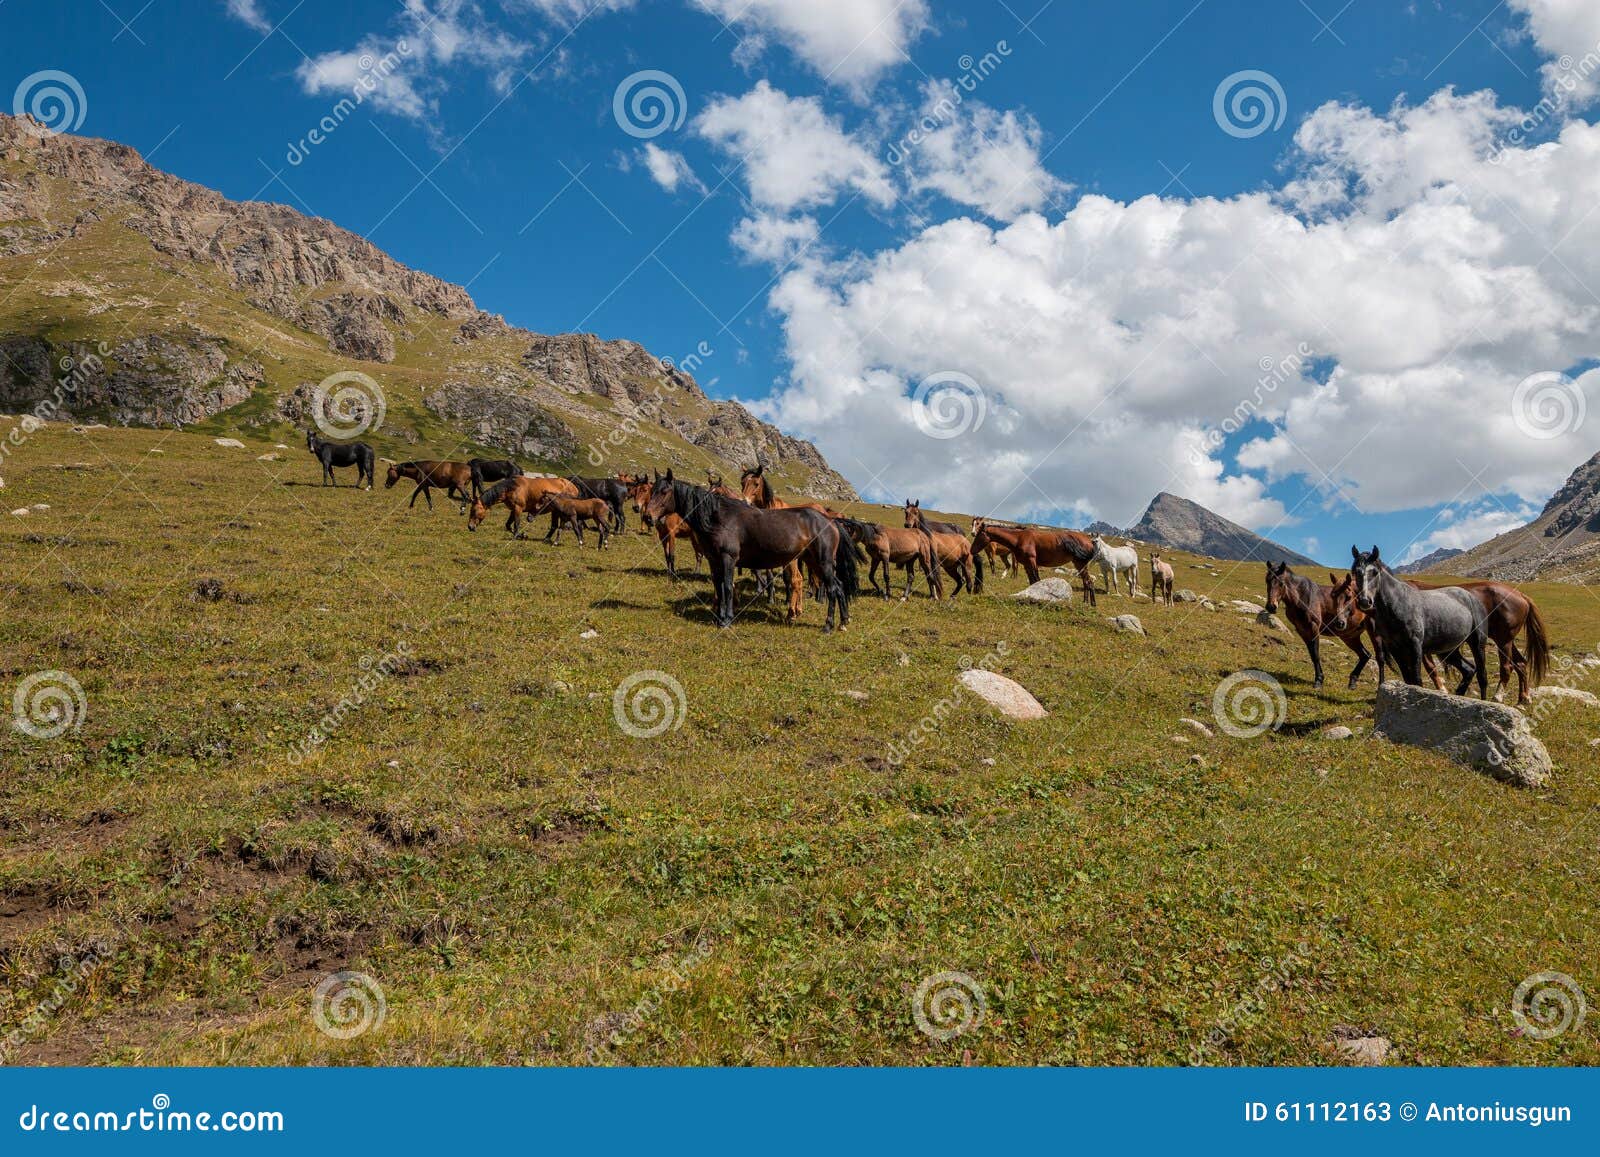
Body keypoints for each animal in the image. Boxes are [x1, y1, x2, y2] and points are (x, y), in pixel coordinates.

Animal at [646, 471, 856, 631]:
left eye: (664, 491)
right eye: (651, 491)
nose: (648, 517)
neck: (718, 517)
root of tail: (831, 520)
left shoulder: (728, 559)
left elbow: (727, 587)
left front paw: (727, 620)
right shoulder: (714, 560)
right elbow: (718, 586)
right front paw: (719, 617)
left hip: (823, 563)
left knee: (832, 588)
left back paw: (828, 625)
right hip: (813, 562)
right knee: (838, 587)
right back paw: (843, 622)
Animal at [1264, 562, 1386, 691]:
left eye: (1281, 583)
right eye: (1267, 580)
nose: (1271, 606)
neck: (1302, 596)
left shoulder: (1314, 628)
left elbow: (1316, 655)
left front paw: (1318, 681)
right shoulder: (1303, 631)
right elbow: (1312, 655)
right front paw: (1320, 679)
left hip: (1373, 632)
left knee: (1380, 657)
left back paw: (1381, 685)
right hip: (1350, 636)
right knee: (1365, 655)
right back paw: (1352, 682)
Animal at [1351, 546, 1489, 697]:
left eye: (1375, 572)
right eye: (1355, 572)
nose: (1365, 601)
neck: (1397, 604)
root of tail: (1471, 597)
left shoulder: (1415, 645)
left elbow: (1417, 680)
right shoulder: (1395, 648)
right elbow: (1408, 679)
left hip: (1477, 644)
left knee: (1482, 677)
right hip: (1448, 650)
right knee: (1469, 669)